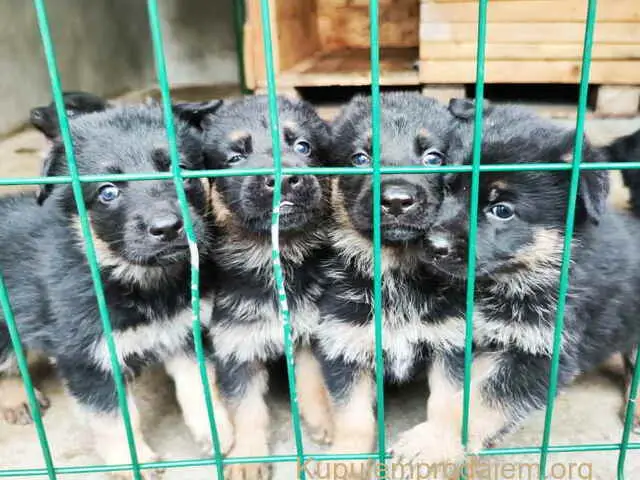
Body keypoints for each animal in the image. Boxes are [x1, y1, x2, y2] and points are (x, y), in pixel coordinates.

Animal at [0, 101, 235, 476]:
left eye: (181, 169)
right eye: (107, 192)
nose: (167, 228)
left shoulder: (185, 333)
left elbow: (200, 387)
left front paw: (215, 431)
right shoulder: (88, 362)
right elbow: (114, 420)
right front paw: (134, 462)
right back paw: (18, 398)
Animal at [198, 95, 332, 478]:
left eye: (302, 146)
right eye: (235, 157)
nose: (285, 181)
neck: (273, 258)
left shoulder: (306, 330)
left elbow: (311, 380)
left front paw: (323, 420)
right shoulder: (235, 349)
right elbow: (247, 409)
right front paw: (248, 457)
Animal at [312, 91, 468, 468]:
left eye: (433, 157)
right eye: (360, 158)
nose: (397, 202)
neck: (397, 272)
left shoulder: (451, 341)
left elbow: (446, 402)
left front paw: (435, 444)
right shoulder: (342, 347)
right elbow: (352, 417)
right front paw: (346, 460)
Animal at [392, 99, 640, 470]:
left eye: (502, 210)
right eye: (447, 188)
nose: (433, 245)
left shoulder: (543, 353)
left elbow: (484, 398)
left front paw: (434, 440)